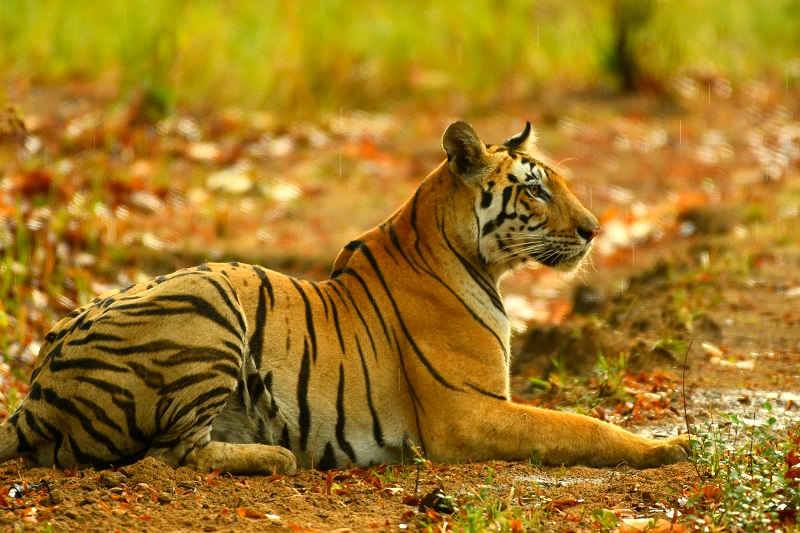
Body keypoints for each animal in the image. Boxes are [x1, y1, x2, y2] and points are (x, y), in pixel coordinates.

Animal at [0, 121, 690, 475]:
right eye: (537, 190)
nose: (594, 230)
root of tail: (36, 385)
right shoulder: (468, 412)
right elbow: (580, 425)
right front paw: (670, 448)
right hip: (208, 299)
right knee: (175, 455)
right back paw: (278, 457)